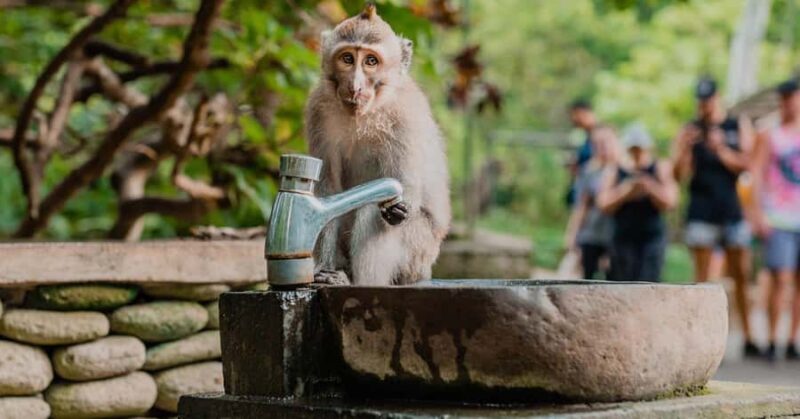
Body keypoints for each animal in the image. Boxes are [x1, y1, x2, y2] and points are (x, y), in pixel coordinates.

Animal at [305, 3, 451, 286]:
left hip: (417, 254)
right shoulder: (318, 110)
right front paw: (323, 271)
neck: (364, 113)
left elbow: (405, 187)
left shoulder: (405, 116)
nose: (355, 86)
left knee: (373, 213)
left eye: (371, 61)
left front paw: (395, 209)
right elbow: (328, 192)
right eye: (347, 58)